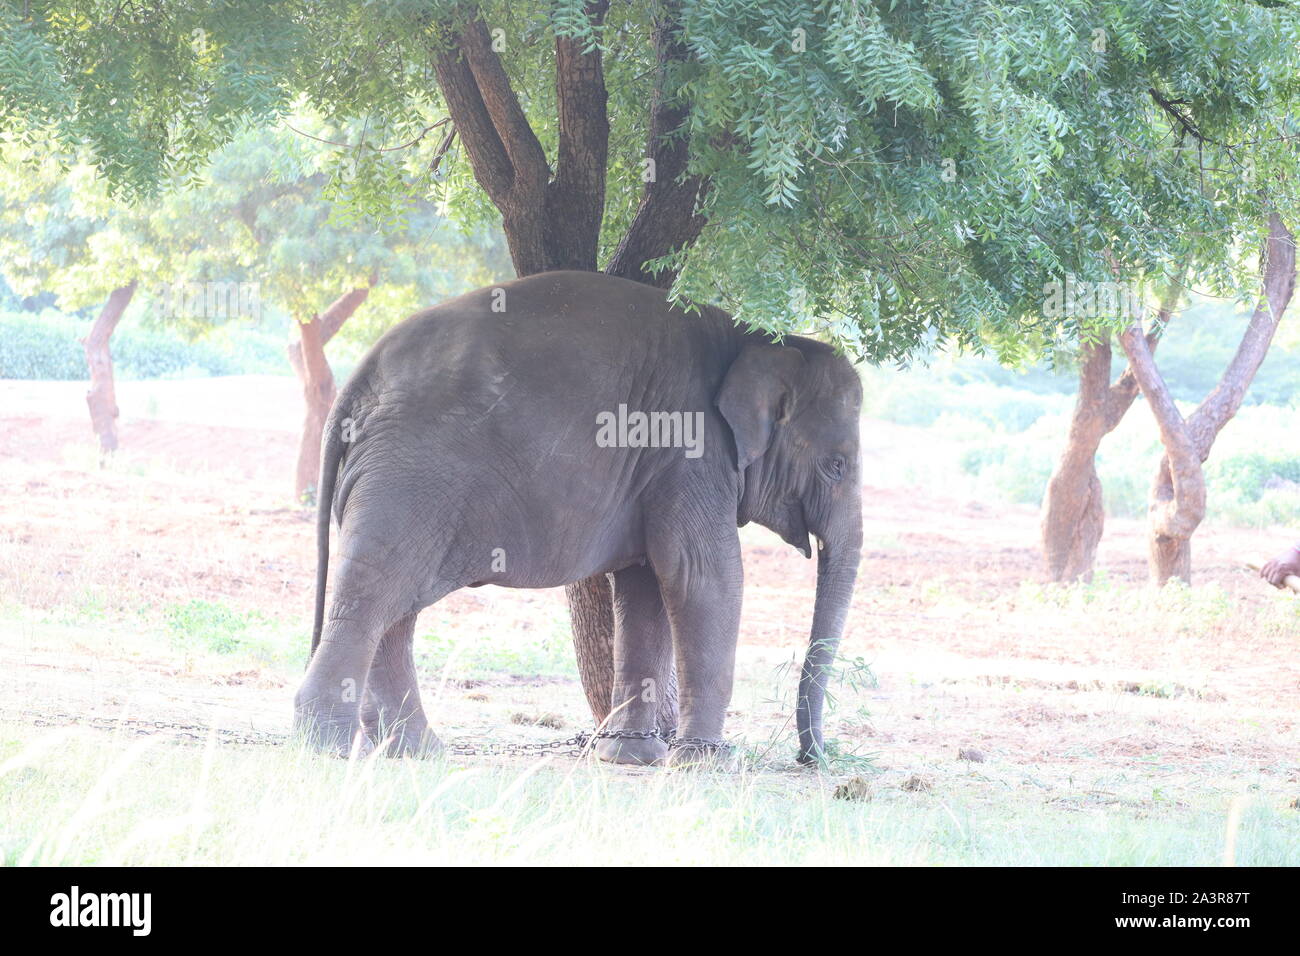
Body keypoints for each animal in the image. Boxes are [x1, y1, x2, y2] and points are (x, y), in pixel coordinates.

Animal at [293, 270, 863, 767]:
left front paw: (632, 757)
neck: (760, 340)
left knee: (395, 605)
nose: (812, 758)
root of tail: (358, 380)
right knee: (374, 596)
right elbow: (703, 575)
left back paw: (416, 752)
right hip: (408, 477)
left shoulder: (655, 468)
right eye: (836, 466)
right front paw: (705, 764)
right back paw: (326, 746)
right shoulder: (690, 451)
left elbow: (646, 585)